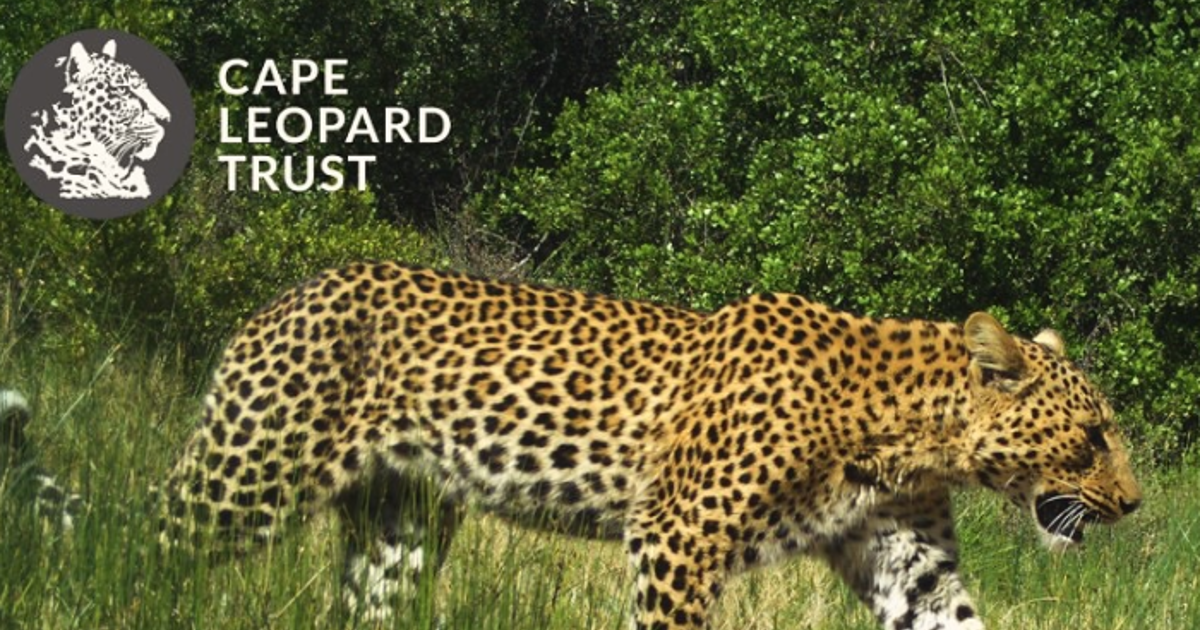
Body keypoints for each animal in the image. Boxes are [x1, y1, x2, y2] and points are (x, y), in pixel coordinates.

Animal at [5, 260, 1142, 629]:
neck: (910, 431)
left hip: (399, 526)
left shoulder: (909, 560)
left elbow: (956, 620)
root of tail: (287, 293)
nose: (1135, 505)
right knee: (132, 550)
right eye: (1092, 437)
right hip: (247, 479)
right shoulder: (679, 536)